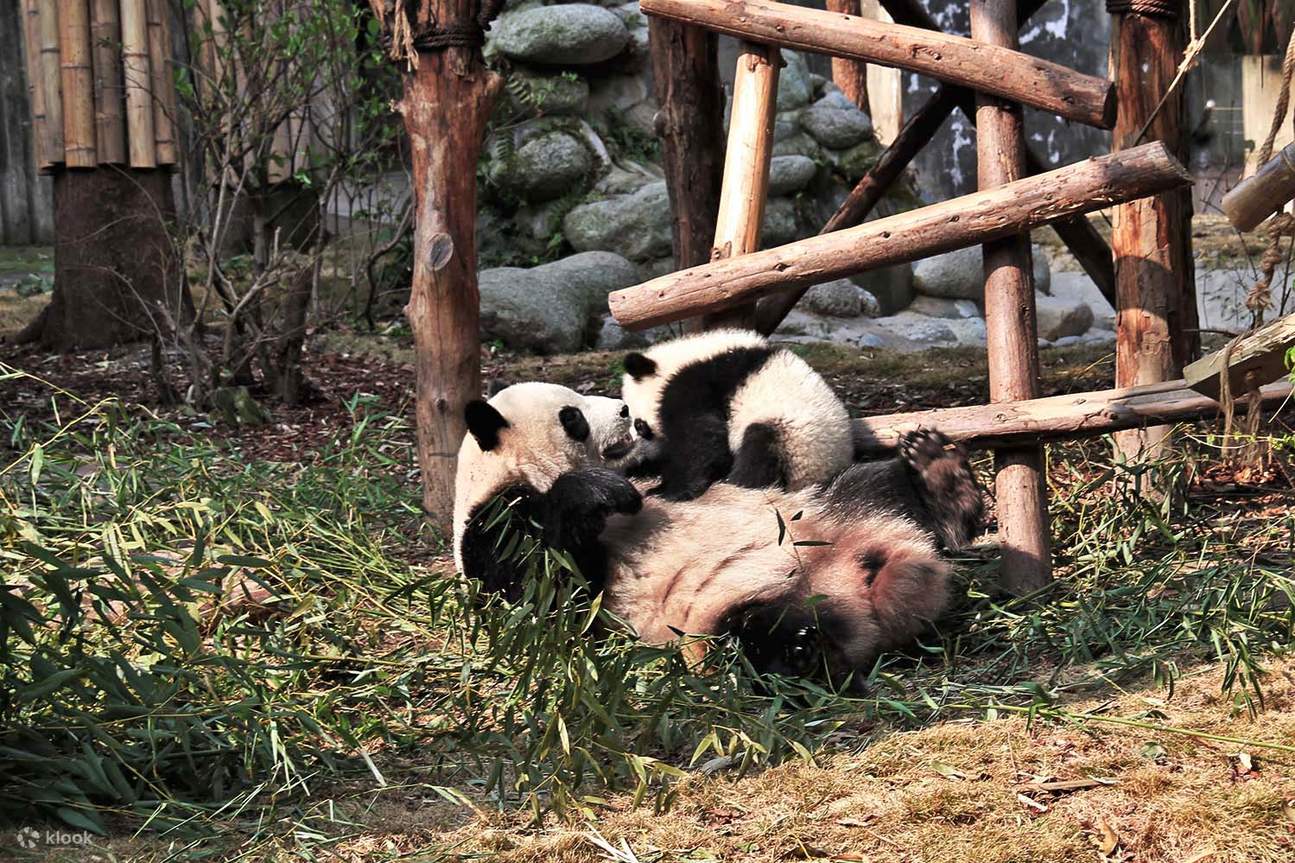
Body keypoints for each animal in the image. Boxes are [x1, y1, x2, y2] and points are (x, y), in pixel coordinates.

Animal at [452, 382, 985, 683]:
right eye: (572, 415)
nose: (625, 410)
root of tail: (868, 590)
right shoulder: (491, 526)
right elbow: (546, 593)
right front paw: (604, 493)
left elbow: (718, 472)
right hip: (715, 614)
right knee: (753, 639)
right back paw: (802, 650)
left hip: (821, 512)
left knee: (873, 487)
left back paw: (940, 475)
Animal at [619, 329, 854, 501]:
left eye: (640, 425)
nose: (639, 455)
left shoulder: (694, 385)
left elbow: (701, 441)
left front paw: (666, 490)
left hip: (793, 438)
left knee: (759, 452)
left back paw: (736, 485)